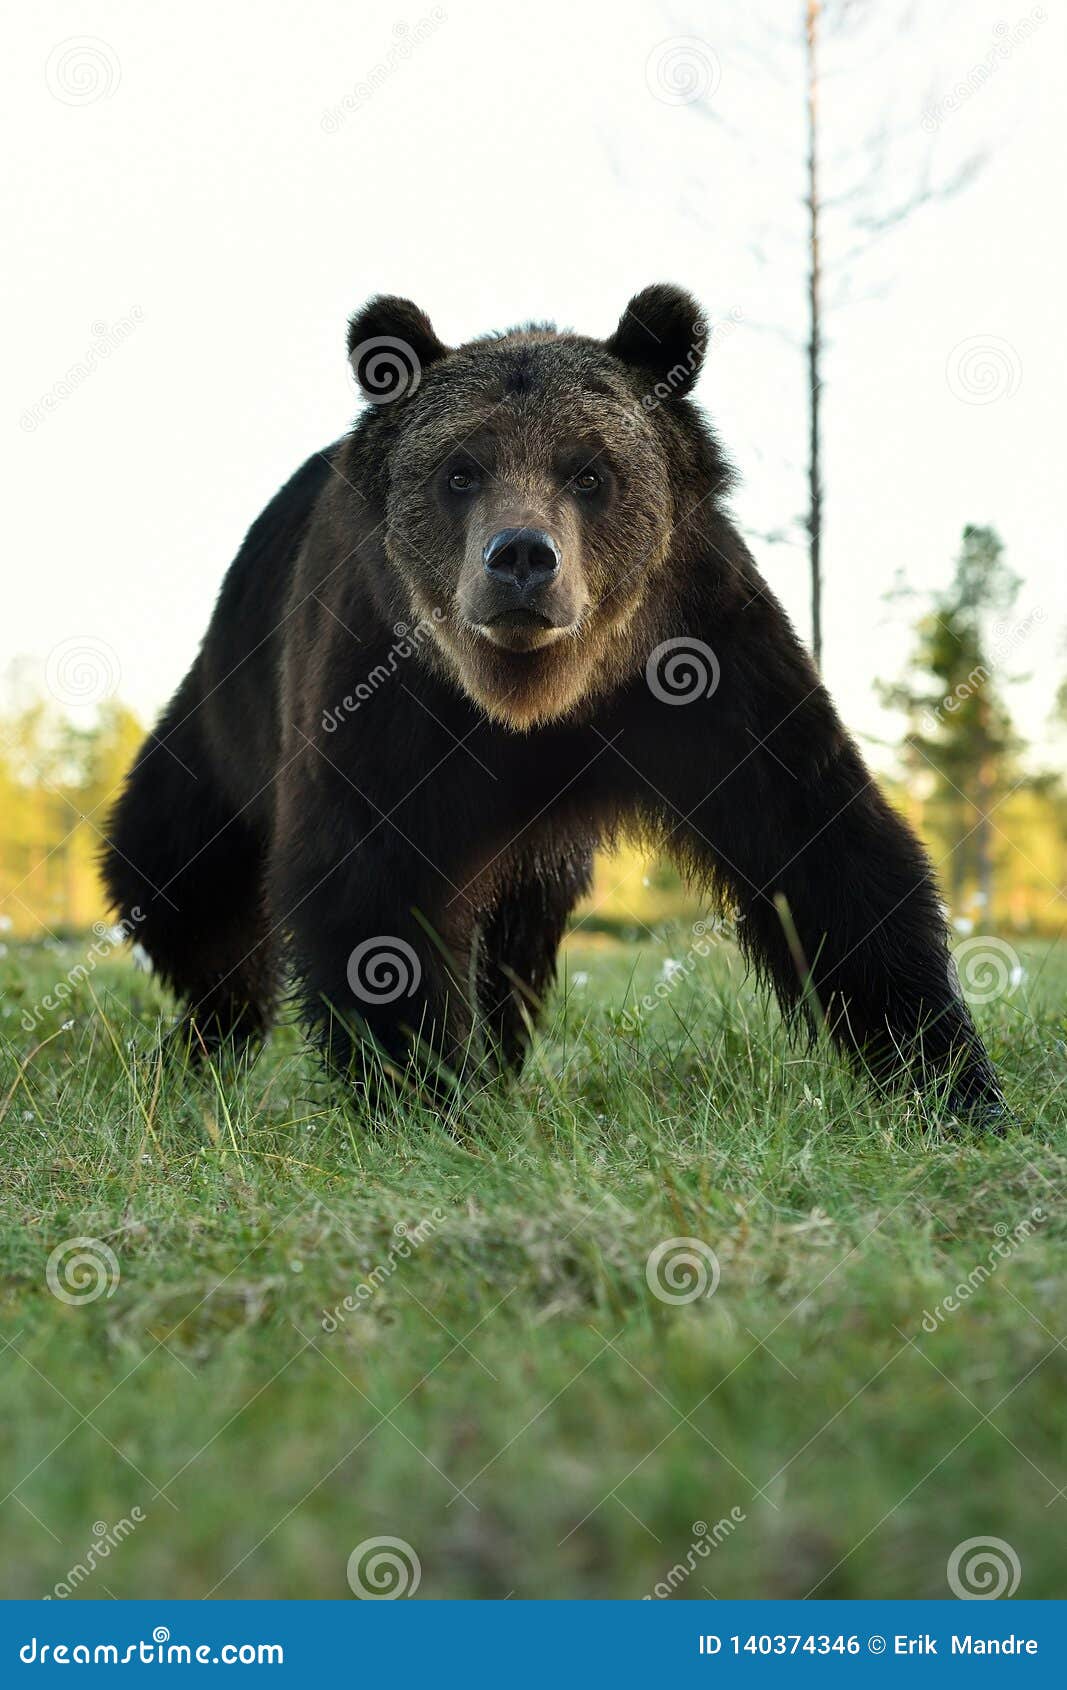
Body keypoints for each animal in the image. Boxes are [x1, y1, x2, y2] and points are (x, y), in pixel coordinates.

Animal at [102, 284, 1006, 1124]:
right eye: (459, 470)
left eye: (589, 471)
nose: (521, 557)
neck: (535, 698)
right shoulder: (385, 690)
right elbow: (368, 881)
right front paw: (418, 1096)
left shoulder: (702, 660)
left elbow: (819, 842)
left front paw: (950, 1077)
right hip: (222, 719)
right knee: (172, 871)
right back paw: (206, 1037)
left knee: (515, 942)